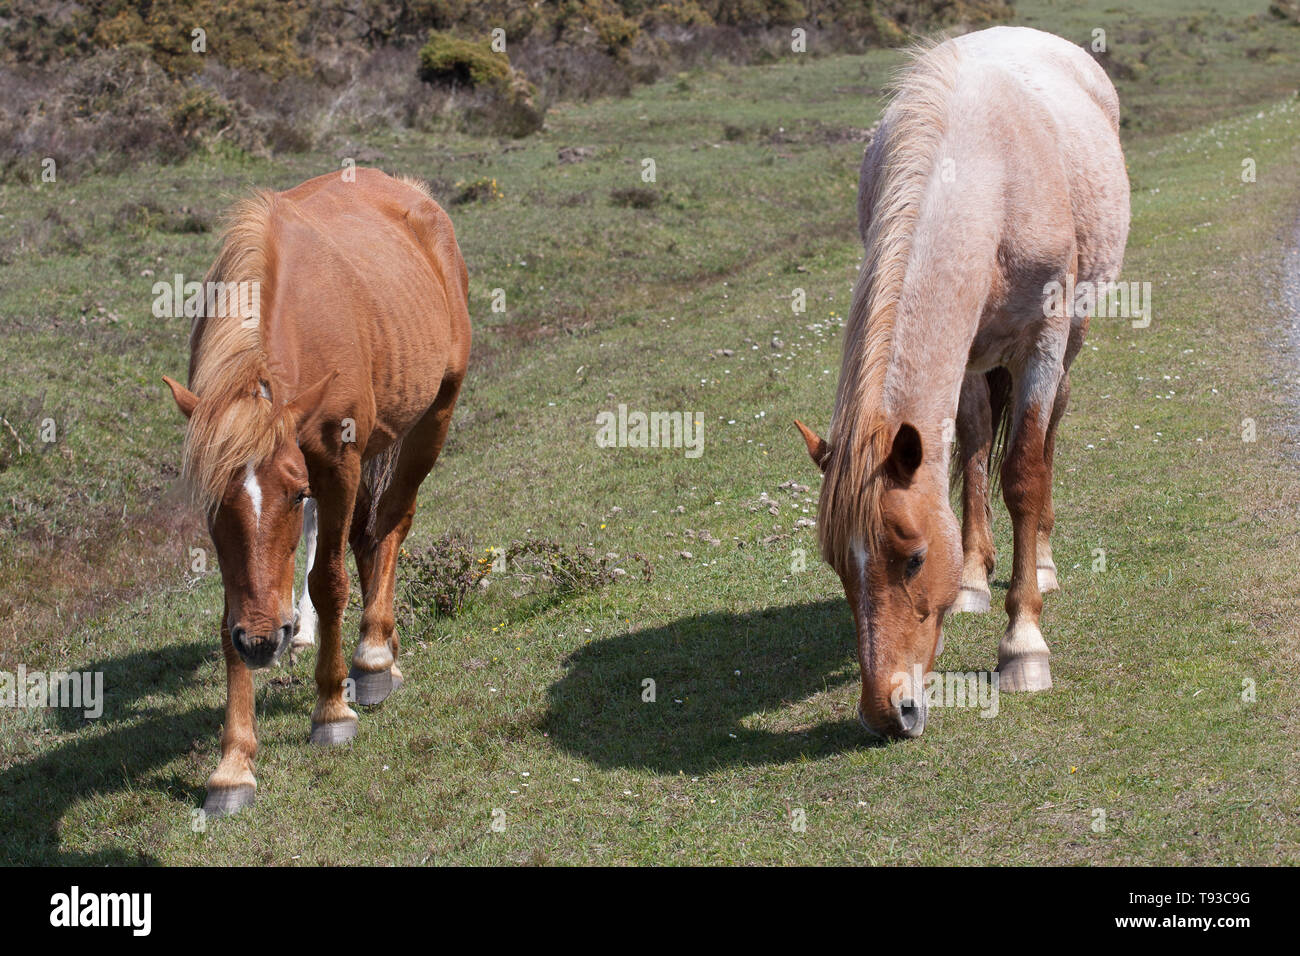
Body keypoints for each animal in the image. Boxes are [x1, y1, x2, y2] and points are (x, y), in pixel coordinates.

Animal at [163, 168, 471, 814]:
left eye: (293, 492)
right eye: (211, 506)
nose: (263, 642)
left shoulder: (337, 466)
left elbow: (328, 582)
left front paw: (331, 710)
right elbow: (232, 612)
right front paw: (233, 766)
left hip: (435, 415)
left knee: (392, 524)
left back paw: (372, 656)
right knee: (369, 536)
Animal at [794, 27, 1129, 738]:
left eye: (913, 558)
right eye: (837, 566)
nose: (887, 710)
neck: (988, 174)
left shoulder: (1043, 338)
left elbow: (1025, 473)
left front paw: (1024, 647)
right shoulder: (966, 348)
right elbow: (970, 449)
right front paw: (974, 577)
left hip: (1072, 336)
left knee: (1049, 432)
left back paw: (1043, 562)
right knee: (974, 443)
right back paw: (977, 572)